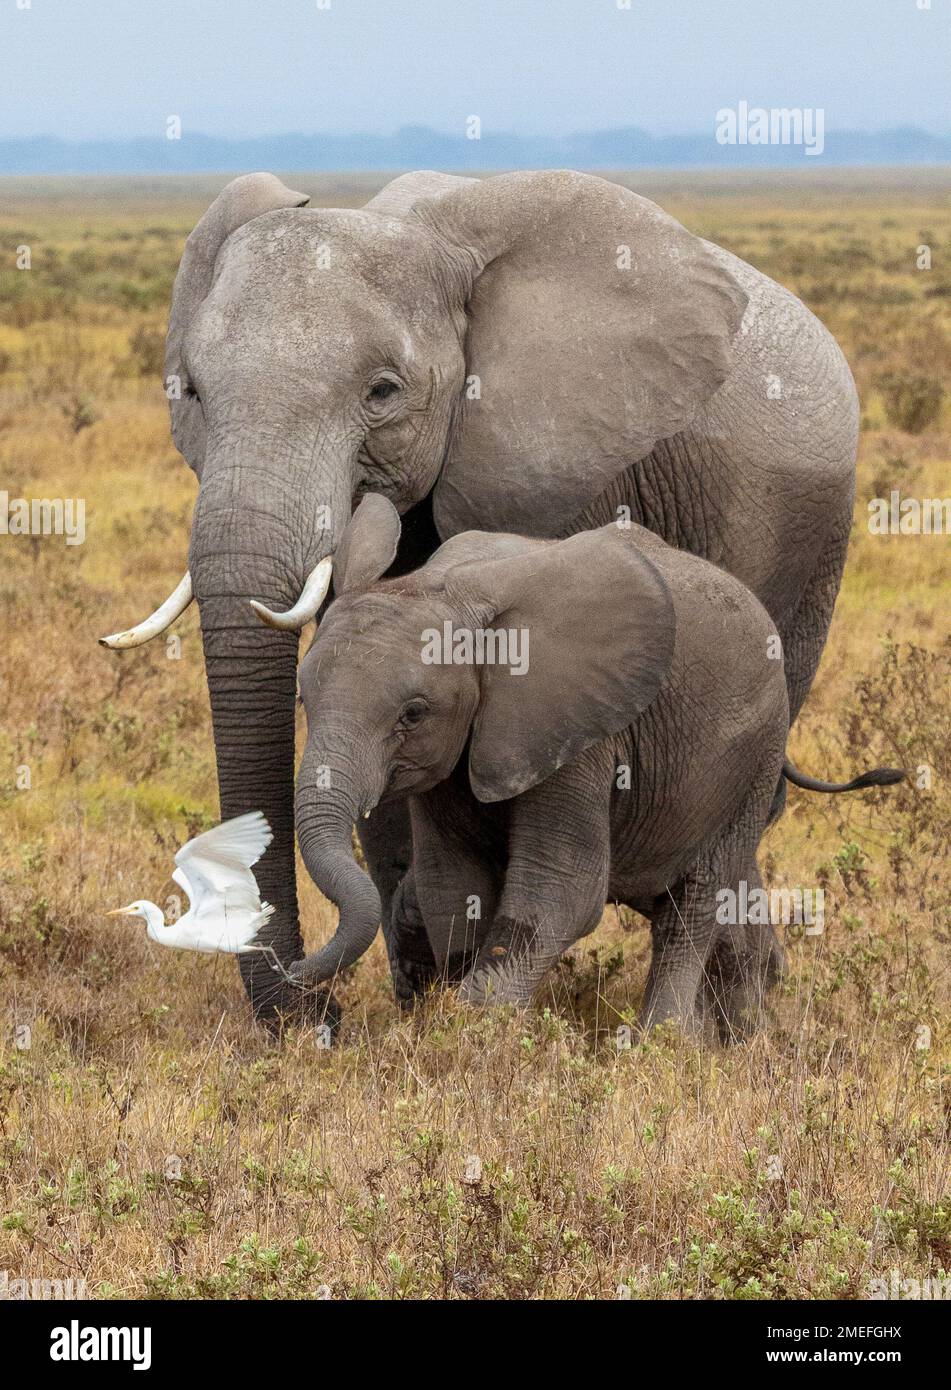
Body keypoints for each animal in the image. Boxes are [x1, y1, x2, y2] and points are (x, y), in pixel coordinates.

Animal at [99, 167, 861, 1024]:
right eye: (191, 391)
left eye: (383, 391)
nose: (319, 1018)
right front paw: (413, 989)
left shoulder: (565, 466)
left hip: (813, 544)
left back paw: (736, 1014)